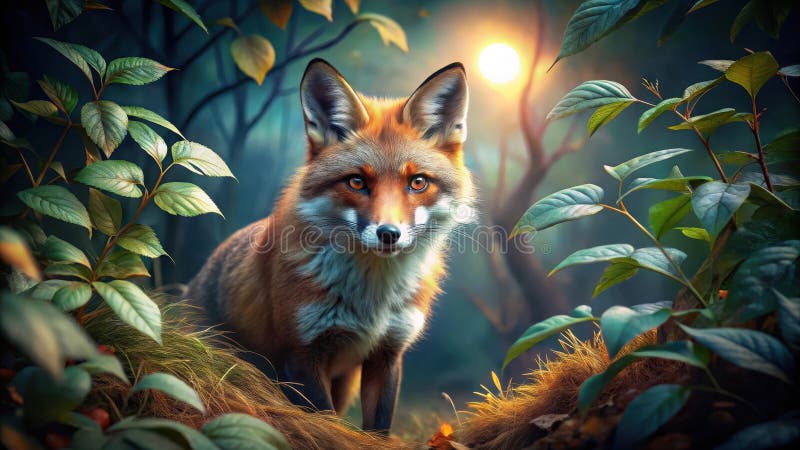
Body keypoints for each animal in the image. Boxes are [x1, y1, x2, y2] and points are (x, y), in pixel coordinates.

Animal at [185, 58, 474, 433]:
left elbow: (378, 431)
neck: (372, 298)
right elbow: (325, 425)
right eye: (357, 182)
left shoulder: (387, 354)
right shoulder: (301, 356)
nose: (389, 233)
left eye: (418, 182)